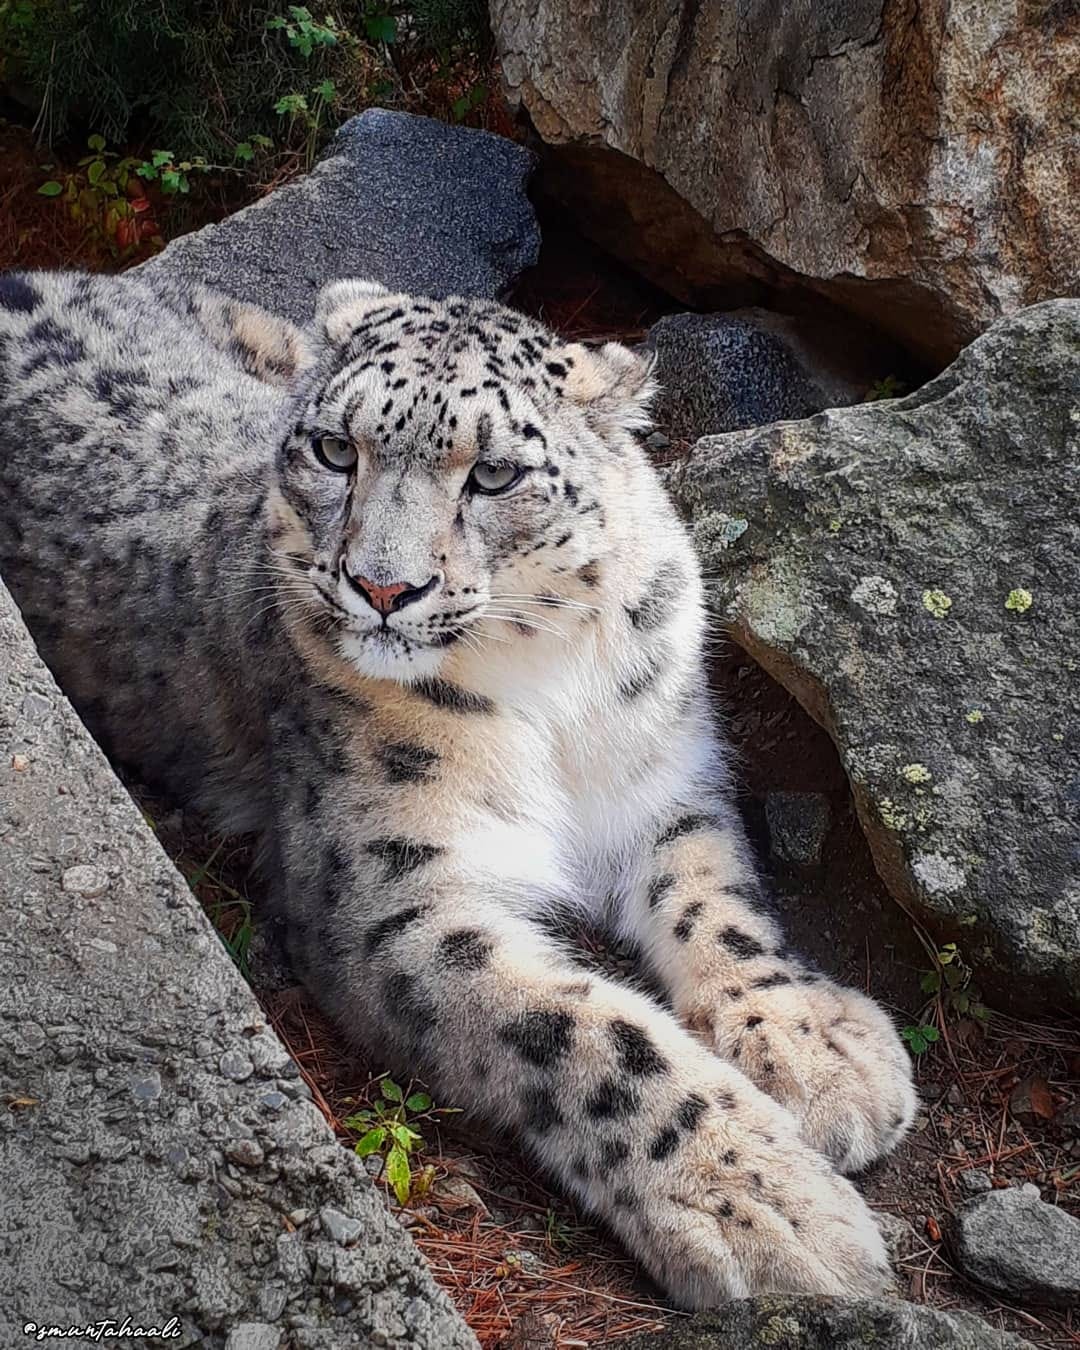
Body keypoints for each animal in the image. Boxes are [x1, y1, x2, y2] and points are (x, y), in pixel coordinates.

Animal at [0, 268, 916, 1309]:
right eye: (334, 449)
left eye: (496, 474)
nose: (380, 588)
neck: (551, 691)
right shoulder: (391, 896)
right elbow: (584, 1031)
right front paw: (766, 1203)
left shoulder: (662, 779)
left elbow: (715, 893)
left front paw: (821, 1049)